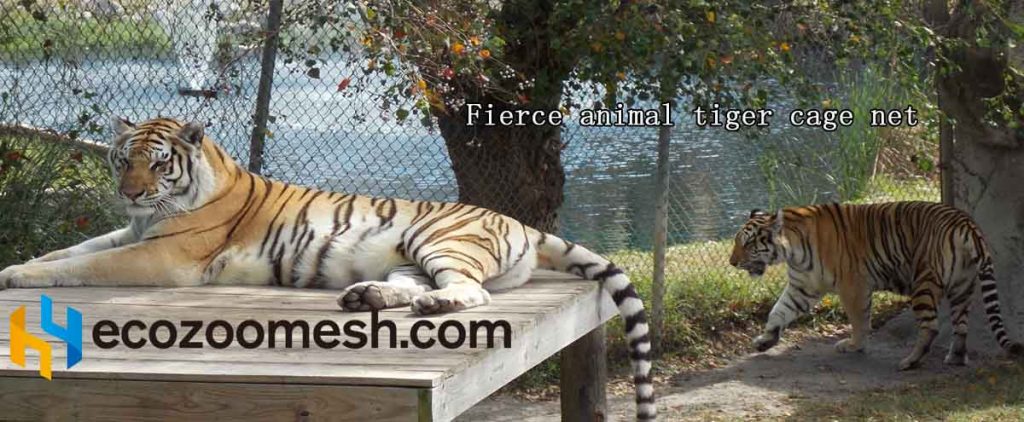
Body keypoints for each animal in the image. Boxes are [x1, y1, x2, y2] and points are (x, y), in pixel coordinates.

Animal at [0, 117, 656, 420]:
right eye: (121, 159)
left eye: (158, 164)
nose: (130, 193)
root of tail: (521, 223)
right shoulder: (132, 232)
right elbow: (70, 251)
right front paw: (15, 265)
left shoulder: (162, 253)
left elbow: (87, 264)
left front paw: (19, 278)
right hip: (412, 260)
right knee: (415, 288)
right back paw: (368, 298)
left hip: (439, 241)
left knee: (474, 295)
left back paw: (431, 304)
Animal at [729, 201, 1023, 370]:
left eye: (747, 243)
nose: (732, 262)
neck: (793, 250)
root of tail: (968, 225)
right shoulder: (802, 288)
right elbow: (778, 312)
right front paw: (765, 341)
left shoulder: (853, 286)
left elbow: (859, 320)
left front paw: (854, 346)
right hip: (963, 287)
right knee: (960, 326)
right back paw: (956, 358)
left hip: (924, 282)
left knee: (931, 326)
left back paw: (910, 362)